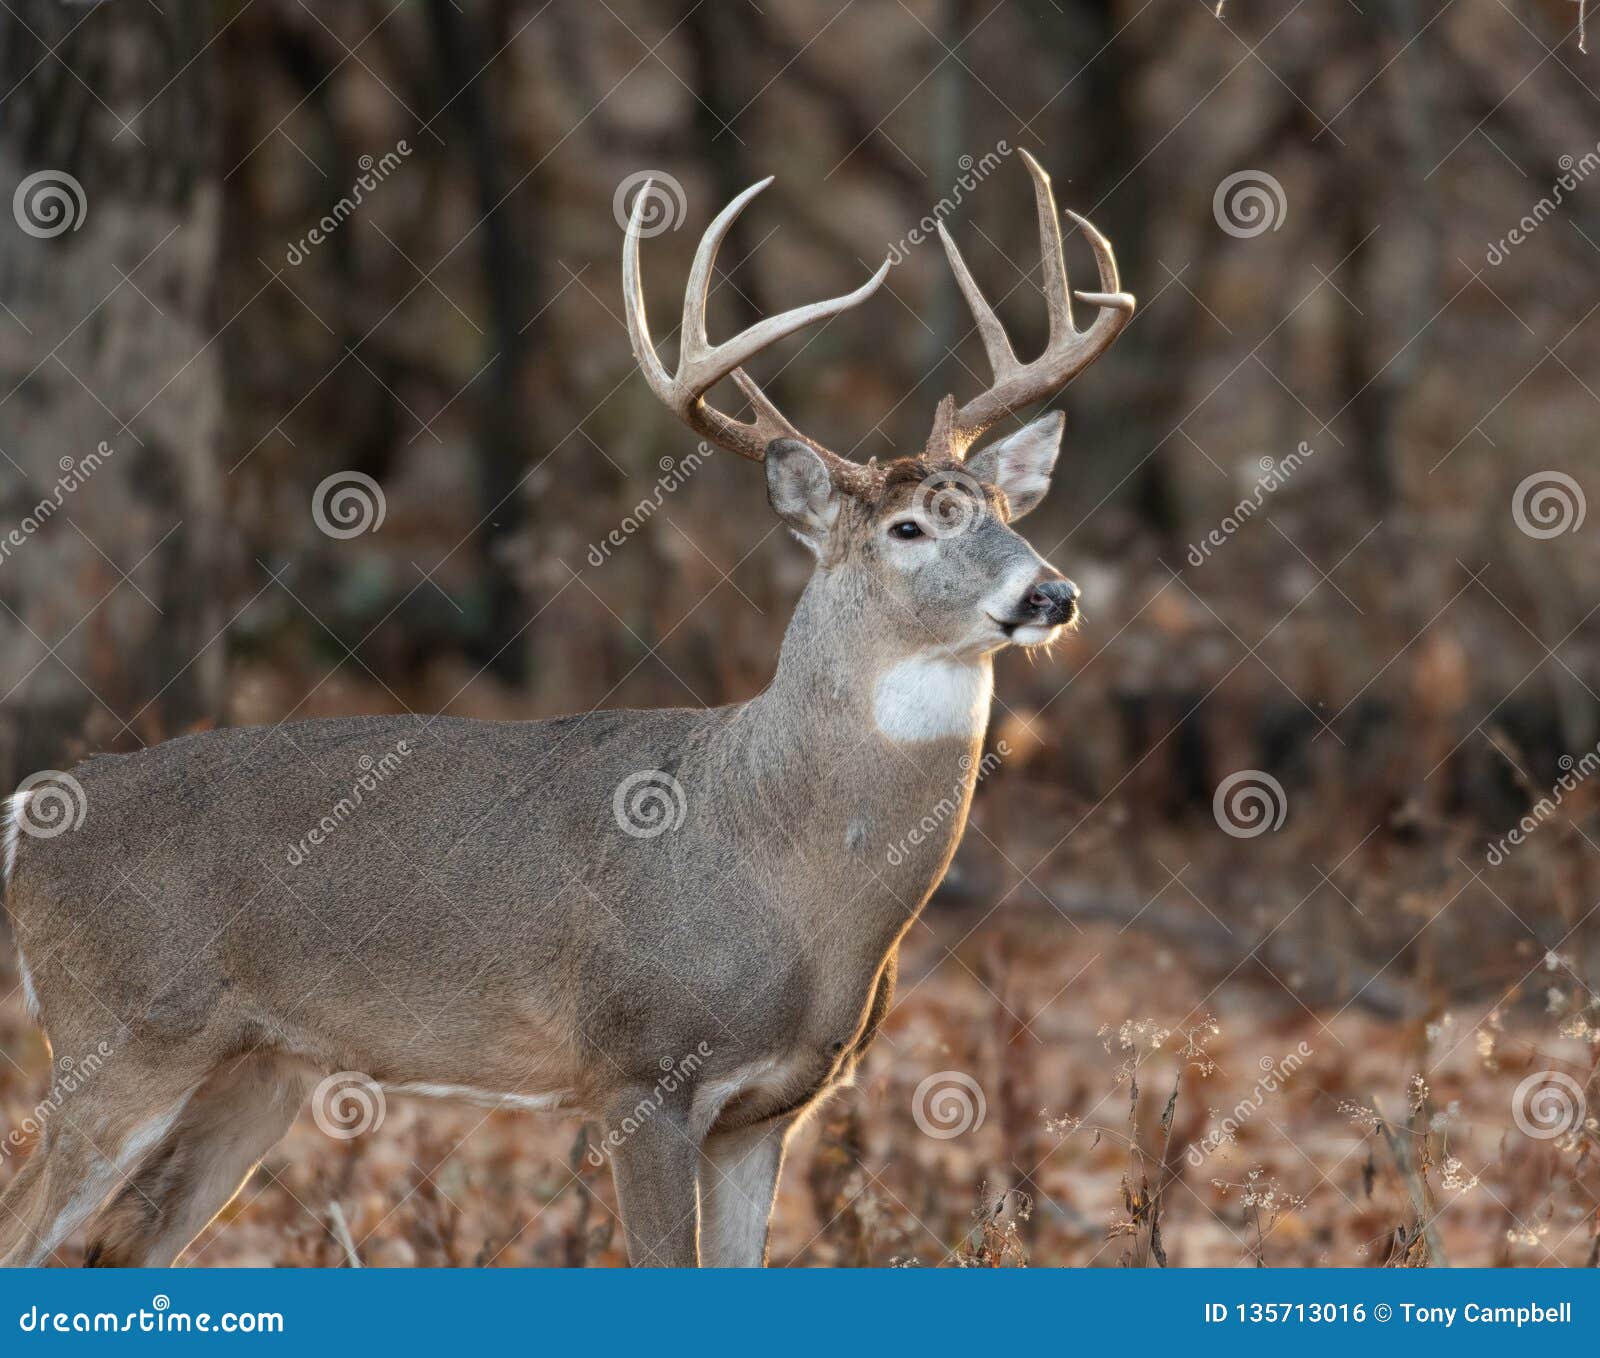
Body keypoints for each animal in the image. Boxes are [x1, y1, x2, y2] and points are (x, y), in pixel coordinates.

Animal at [0, 149, 1131, 1269]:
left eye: (1001, 511)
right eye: (906, 528)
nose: (1051, 593)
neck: (788, 863)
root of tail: (28, 815)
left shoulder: (770, 1109)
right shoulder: (640, 1068)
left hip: (257, 1066)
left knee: (125, 1244)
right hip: (117, 1033)